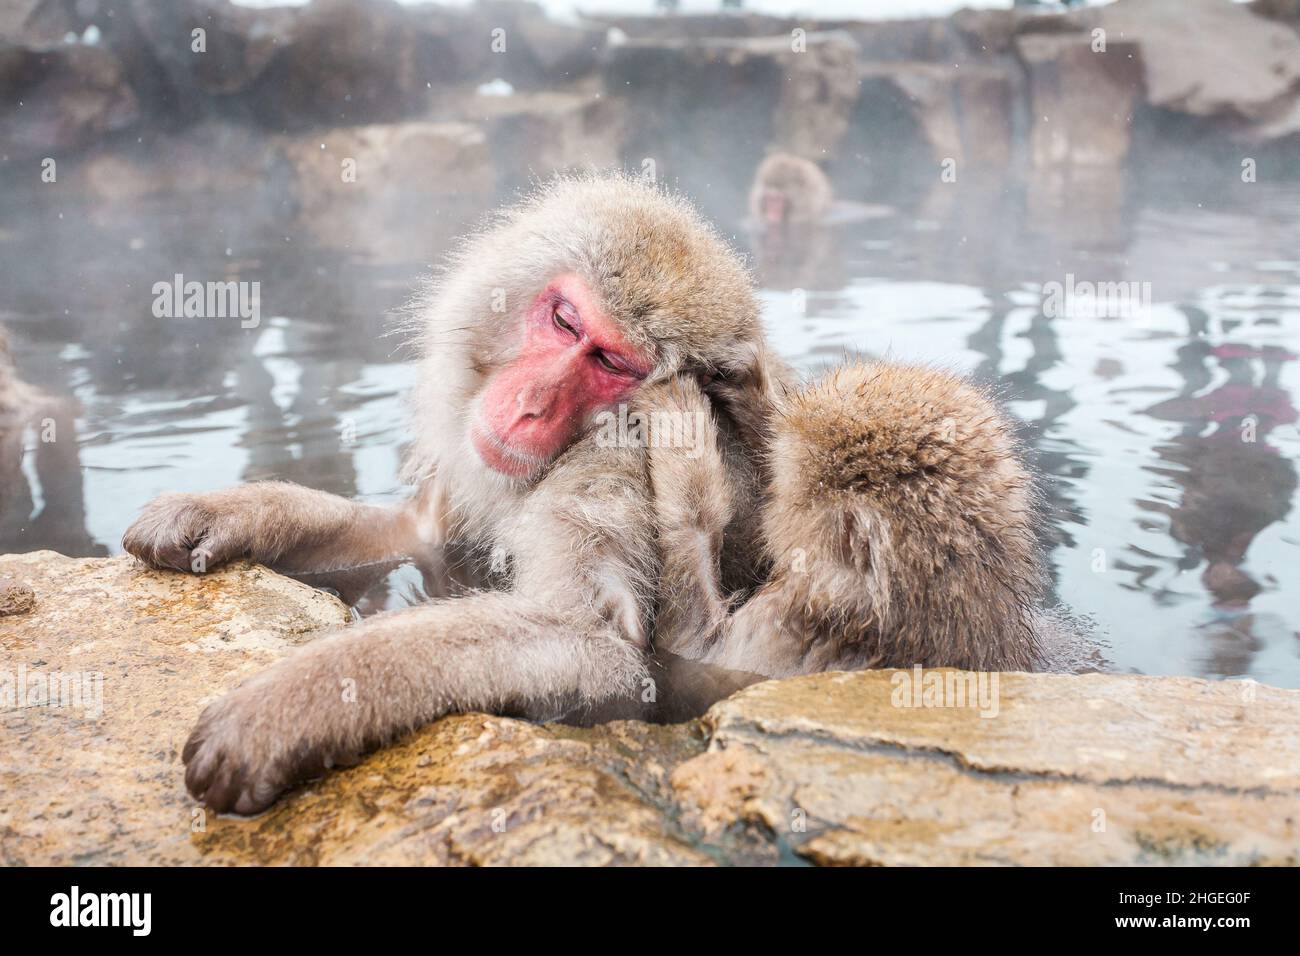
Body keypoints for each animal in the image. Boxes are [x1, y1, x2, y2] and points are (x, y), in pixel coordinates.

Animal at [122, 174, 1044, 814]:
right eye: (566, 322)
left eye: (610, 362)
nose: (530, 404)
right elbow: (418, 534)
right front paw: (222, 512)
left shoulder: (614, 458)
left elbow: (588, 638)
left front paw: (289, 708)